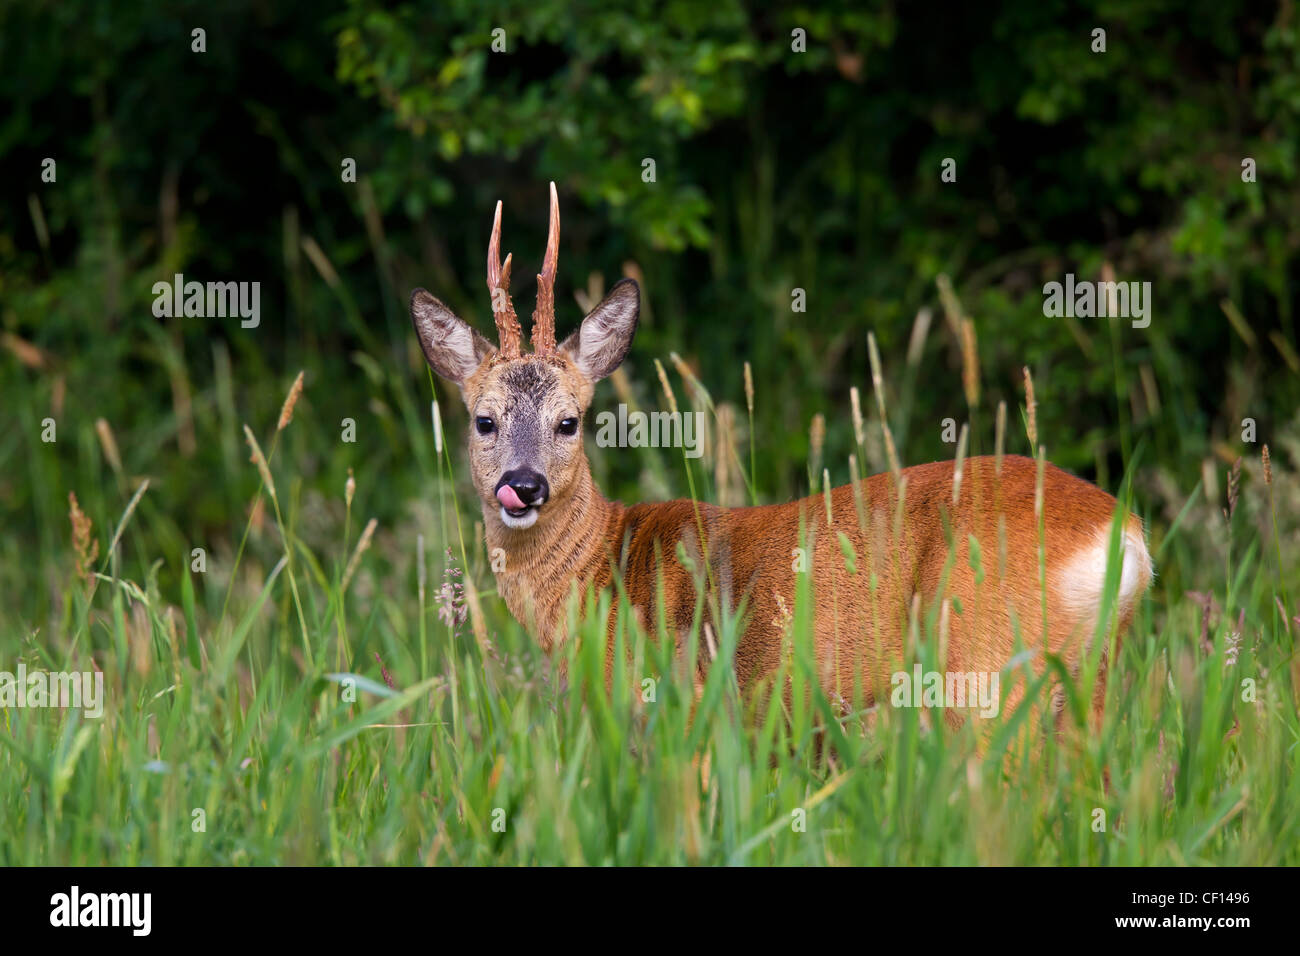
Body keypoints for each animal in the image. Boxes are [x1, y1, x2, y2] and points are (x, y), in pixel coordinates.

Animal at [409, 182, 1154, 734]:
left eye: (569, 421)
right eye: (483, 420)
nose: (523, 486)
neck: (598, 567)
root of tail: (1125, 538)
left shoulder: (683, 713)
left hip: (986, 664)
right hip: (1087, 680)